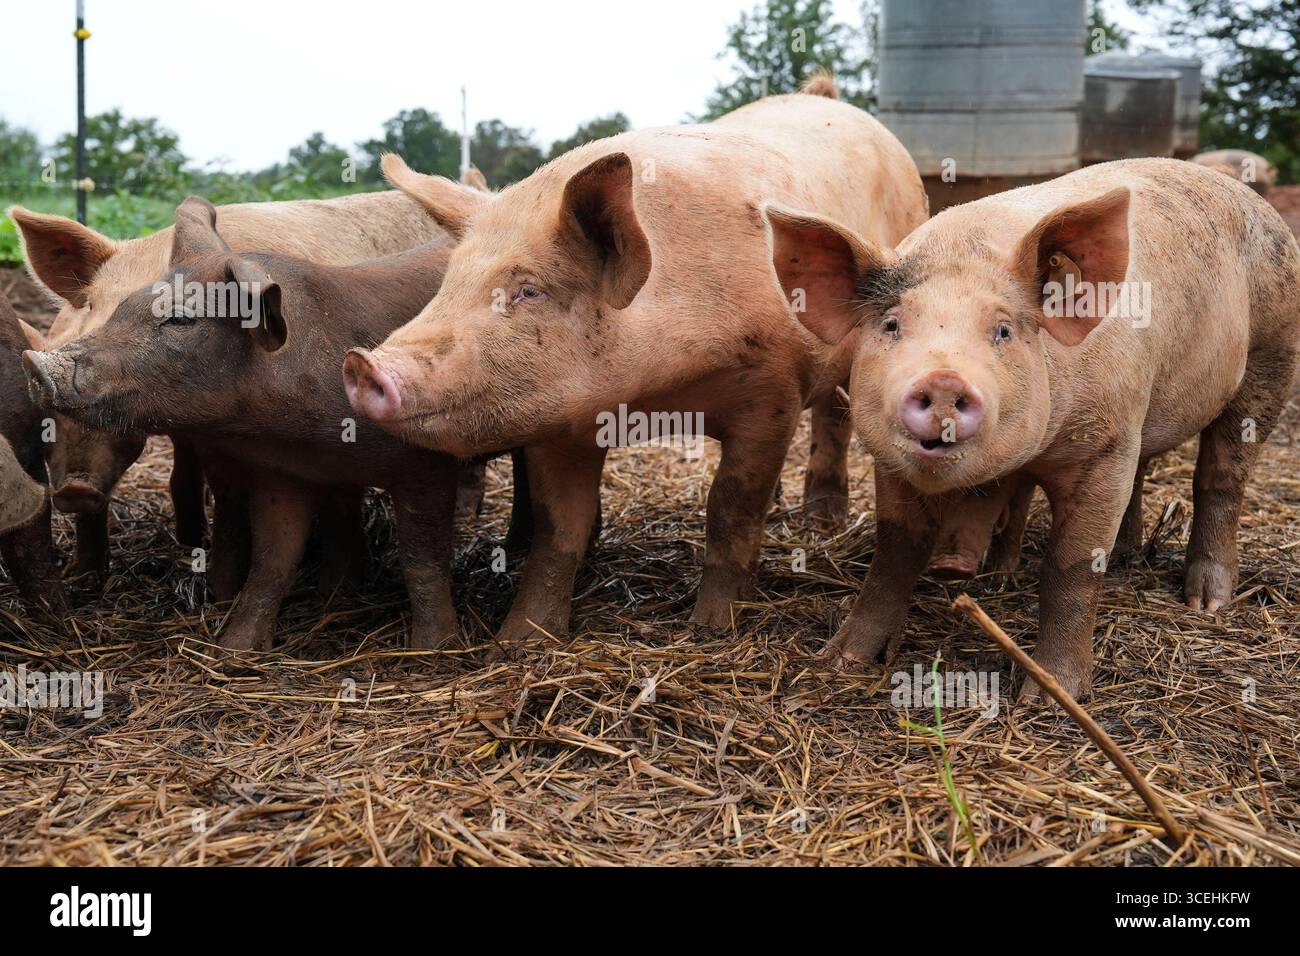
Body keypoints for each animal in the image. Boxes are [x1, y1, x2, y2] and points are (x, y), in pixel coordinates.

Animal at [342, 81, 930, 648]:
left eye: (529, 290)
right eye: (449, 281)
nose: (364, 364)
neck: (652, 396)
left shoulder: (774, 390)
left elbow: (731, 508)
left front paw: (710, 629)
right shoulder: (564, 423)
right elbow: (560, 528)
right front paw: (519, 642)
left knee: (834, 416)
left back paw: (821, 520)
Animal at [763, 157, 1300, 701]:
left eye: (1003, 330)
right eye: (892, 324)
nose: (943, 379)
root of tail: (1252, 198)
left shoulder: (1102, 446)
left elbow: (1071, 565)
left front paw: (1049, 697)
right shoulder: (890, 460)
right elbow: (895, 549)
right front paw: (840, 661)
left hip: (1273, 351)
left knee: (1221, 476)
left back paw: (1205, 603)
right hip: (1146, 409)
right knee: (1143, 470)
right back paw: (1114, 560)